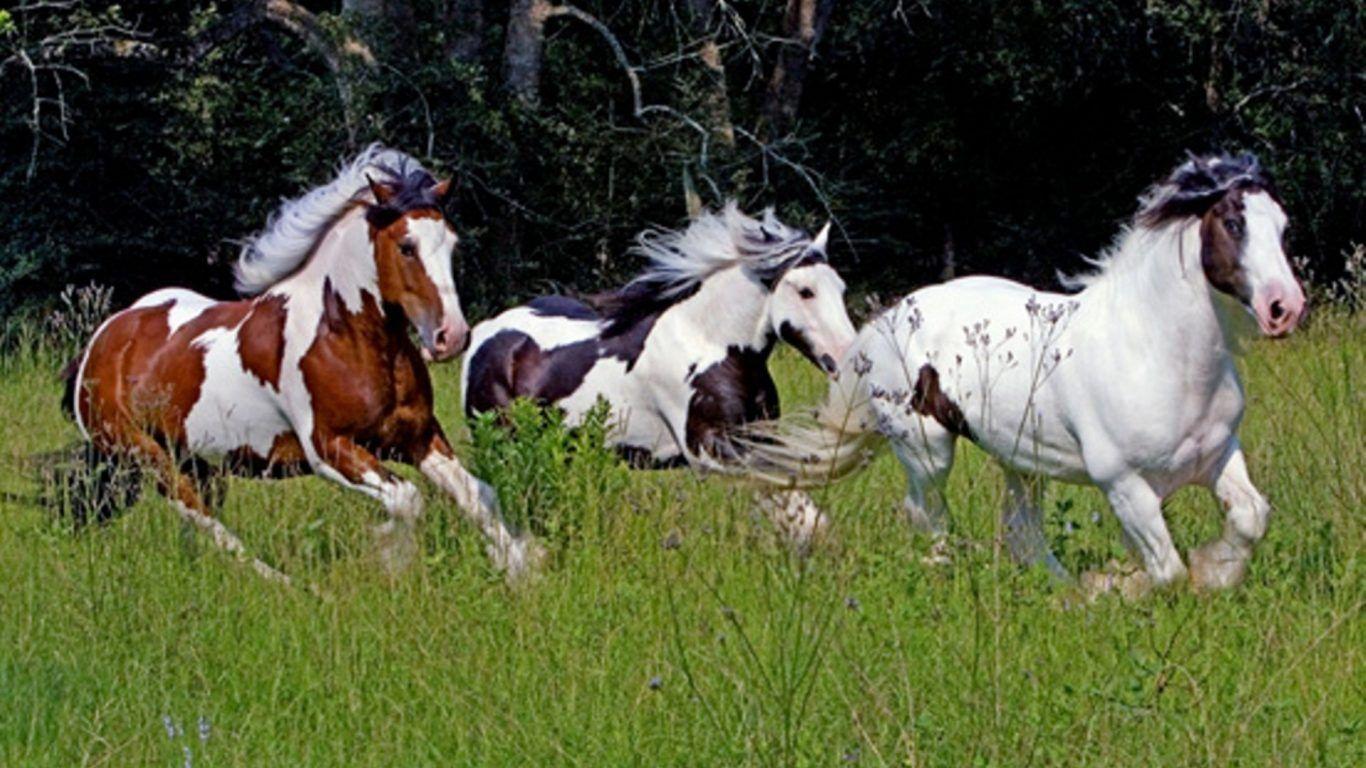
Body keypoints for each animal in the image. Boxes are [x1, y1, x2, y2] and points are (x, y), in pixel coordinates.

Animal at [66, 145, 540, 584]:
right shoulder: (328, 449)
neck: (345, 338)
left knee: (196, 528)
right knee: (205, 522)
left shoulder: (418, 437)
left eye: (452, 244)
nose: (452, 336)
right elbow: (407, 500)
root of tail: (101, 343)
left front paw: (522, 569)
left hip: (199, 462)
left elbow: (477, 495)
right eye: (407, 246)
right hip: (146, 456)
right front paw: (392, 565)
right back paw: (287, 585)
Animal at [460, 203, 858, 542]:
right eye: (805, 291)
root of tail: (483, 333)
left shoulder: (759, 435)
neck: (712, 344)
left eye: (841, 288)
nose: (848, 357)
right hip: (502, 443)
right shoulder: (710, 450)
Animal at [737, 153, 1305, 595]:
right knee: (927, 512)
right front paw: (1116, 587)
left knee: (1020, 529)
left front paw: (1214, 574)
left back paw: (1059, 591)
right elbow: (1165, 570)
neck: (1158, 356)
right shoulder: (1123, 482)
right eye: (1233, 224)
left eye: (1282, 226)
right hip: (927, 448)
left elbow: (1251, 518)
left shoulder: (1218, 456)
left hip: (1020, 459)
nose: (1285, 308)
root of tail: (884, 322)